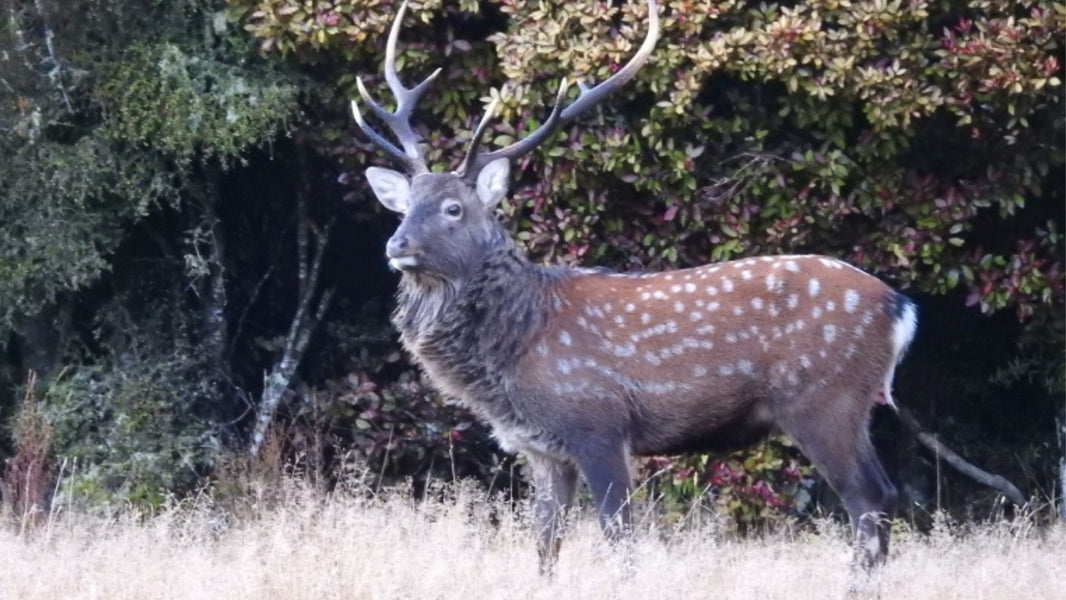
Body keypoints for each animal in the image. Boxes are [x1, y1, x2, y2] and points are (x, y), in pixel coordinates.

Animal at [351, 0, 916, 573]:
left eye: (453, 208)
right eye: (405, 205)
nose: (396, 244)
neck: (517, 348)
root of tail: (901, 309)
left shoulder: (597, 424)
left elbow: (619, 536)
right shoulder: (541, 448)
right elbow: (545, 545)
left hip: (825, 398)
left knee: (868, 496)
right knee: (884, 495)